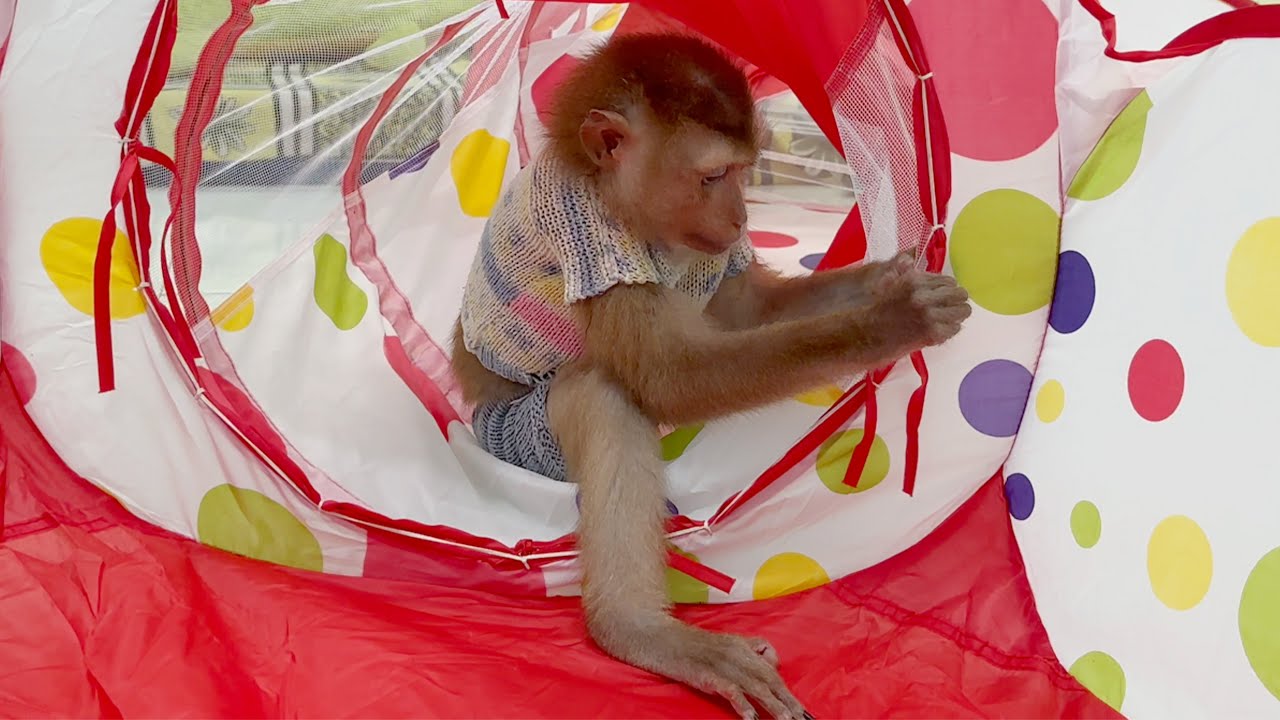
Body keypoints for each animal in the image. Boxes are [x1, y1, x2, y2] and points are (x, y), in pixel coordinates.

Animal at [449, 32, 971, 720]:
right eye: (713, 176)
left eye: (745, 173)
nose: (742, 217)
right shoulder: (587, 230)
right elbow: (667, 378)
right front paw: (891, 321)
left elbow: (746, 309)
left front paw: (886, 278)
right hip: (512, 436)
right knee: (600, 391)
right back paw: (639, 628)